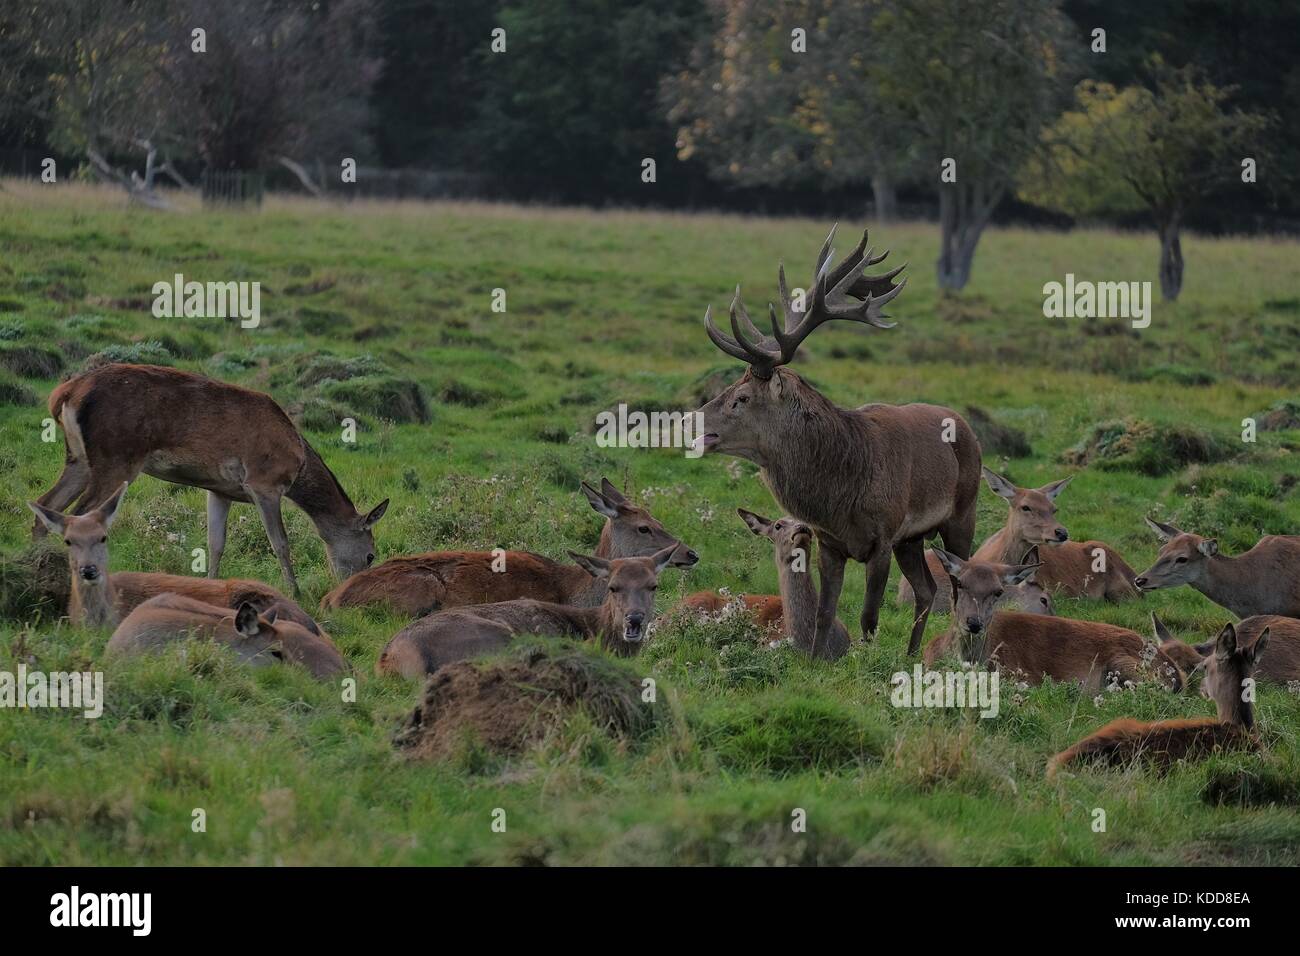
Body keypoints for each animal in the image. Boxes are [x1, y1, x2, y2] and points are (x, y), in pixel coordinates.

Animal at [33, 363, 389, 597]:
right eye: (371, 554)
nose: (352, 587)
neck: (298, 461)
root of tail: (63, 394)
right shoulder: (264, 482)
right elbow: (280, 542)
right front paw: (296, 592)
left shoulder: (219, 490)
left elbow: (216, 543)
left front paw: (212, 583)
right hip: (116, 457)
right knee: (78, 515)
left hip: (79, 459)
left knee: (45, 504)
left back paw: (36, 565)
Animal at [321, 478, 698, 616]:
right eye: (644, 527)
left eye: (657, 519)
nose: (691, 553)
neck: (576, 591)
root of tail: (331, 598)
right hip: (421, 586)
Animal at [375, 546, 677, 679]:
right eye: (613, 587)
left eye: (653, 585)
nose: (634, 618)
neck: (595, 627)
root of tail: (391, 657)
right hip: (498, 638)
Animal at [692, 225, 982, 656]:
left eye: (741, 398)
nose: (689, 420)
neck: (840, 493)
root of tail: (967, 428)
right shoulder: (831, 543)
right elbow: (824, 614)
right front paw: (815, 660)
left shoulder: (882, 538)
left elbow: (869, 618)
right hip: (912, 539)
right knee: (927, 590)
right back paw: (911, 653)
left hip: (962, 514)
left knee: (962, 588)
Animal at [923, 549, 1184, 692]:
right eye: (959, 583)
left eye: (998, 591)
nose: (974, 623)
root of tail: (1177, 675)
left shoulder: (1023, 675)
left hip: (1127, 664)